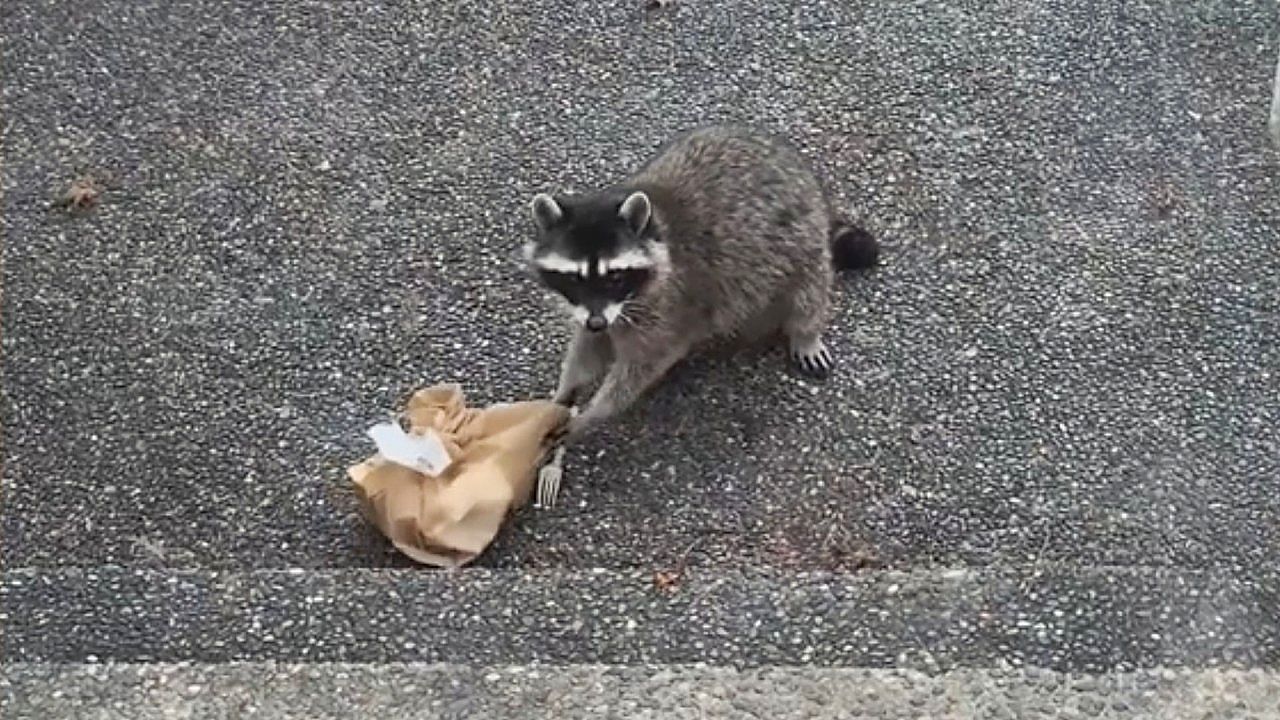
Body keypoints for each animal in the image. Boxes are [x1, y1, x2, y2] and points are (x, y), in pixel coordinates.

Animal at [524, 125, 878, 438]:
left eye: (615, 276)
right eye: (575, 278)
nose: (597, 322)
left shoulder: (671, 305)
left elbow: (642, 366)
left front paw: (595, 413)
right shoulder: (595, 310)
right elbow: (588, 349)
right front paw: (565, 389)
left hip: (804, 244)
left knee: (809, 292)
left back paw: (806, 332)